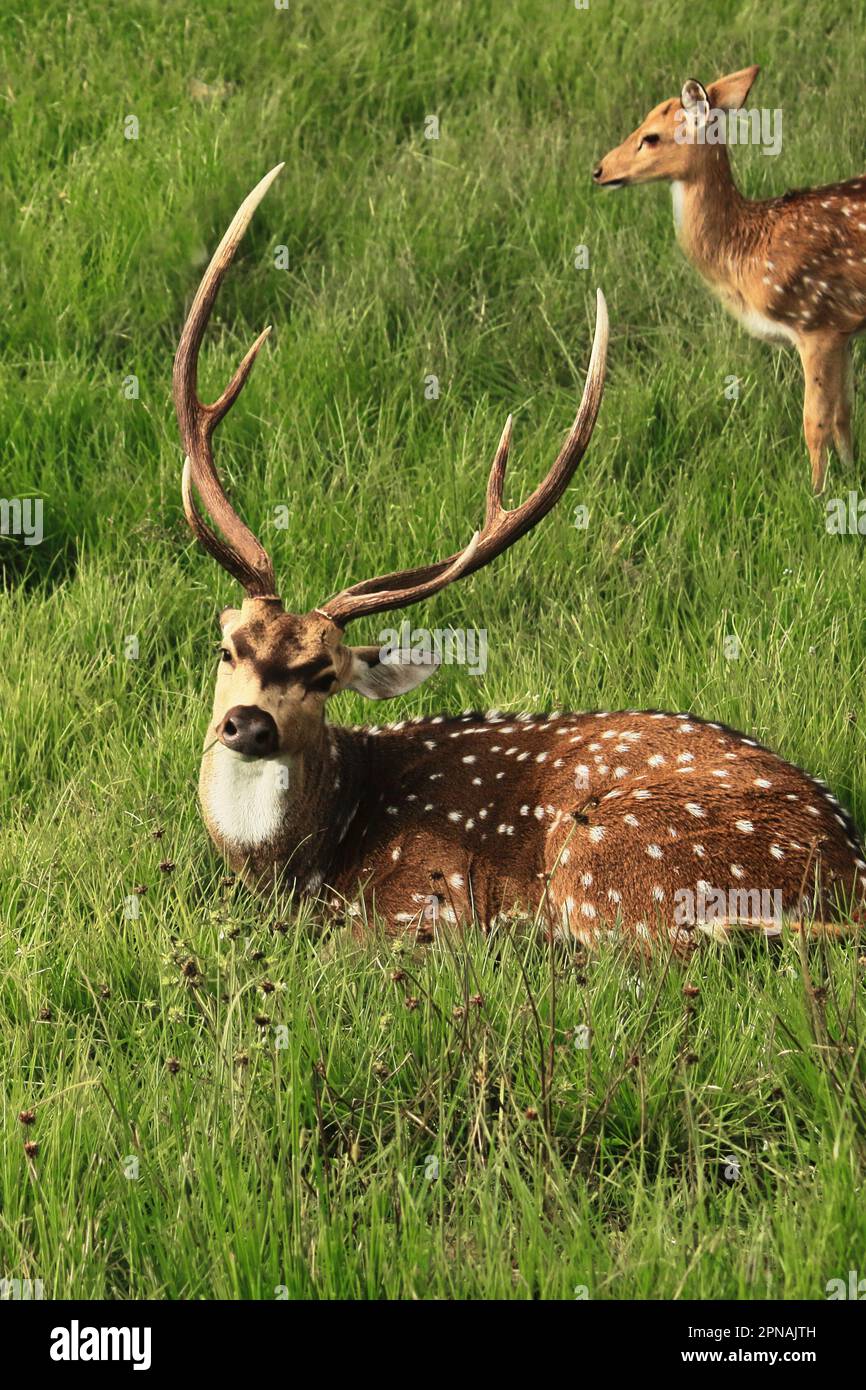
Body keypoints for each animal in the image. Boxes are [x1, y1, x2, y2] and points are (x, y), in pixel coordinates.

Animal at [173, 165, 866, 956]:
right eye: (228, 647)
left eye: (324, 675)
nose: (249, 724)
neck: (306, 860)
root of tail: (852, 874)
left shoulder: (424, 899)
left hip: (611, 861)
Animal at [592, 65, 866, 493]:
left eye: (650, 137)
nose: (599, 170)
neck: (747, 249)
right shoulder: (845, 329)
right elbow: (845, 413)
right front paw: (851, 476)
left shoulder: (815, 322)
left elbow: (815, 422)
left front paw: (816, 495)